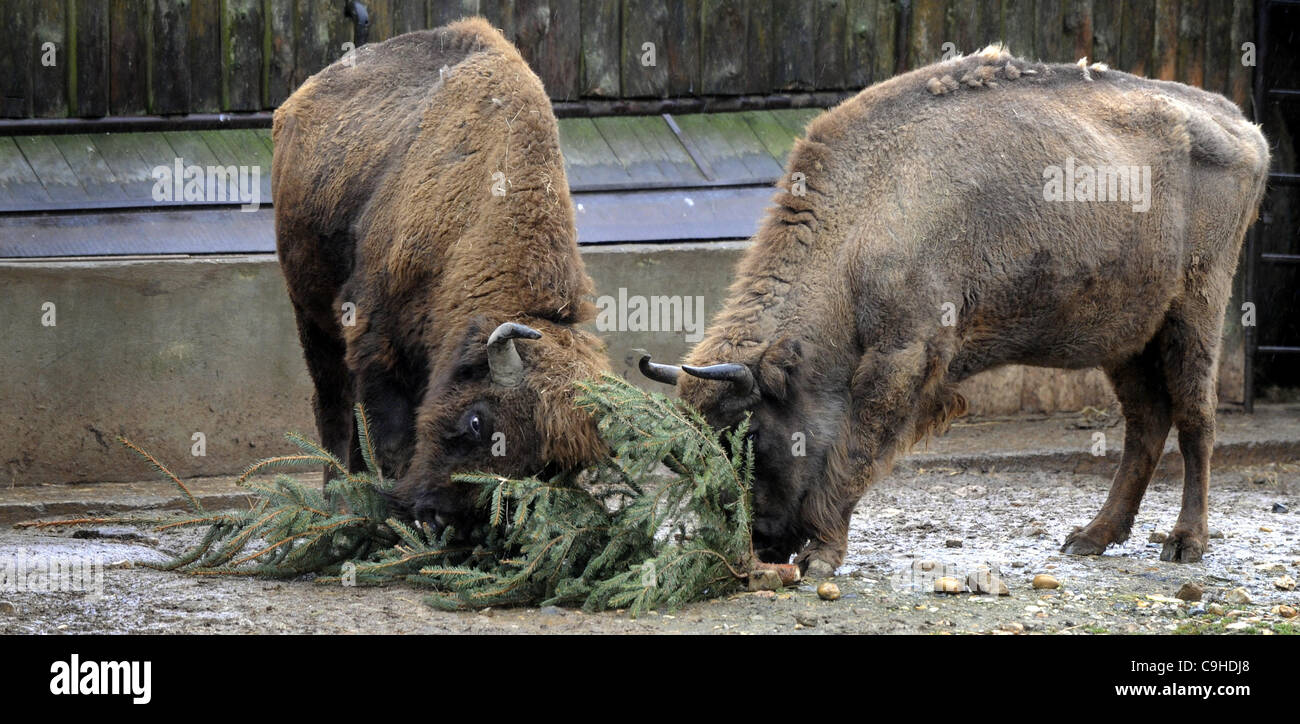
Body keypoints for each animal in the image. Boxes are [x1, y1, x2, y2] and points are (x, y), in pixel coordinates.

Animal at [273, 18, 608, 531]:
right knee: (332, 405)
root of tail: (297, 100)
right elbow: (389, 440)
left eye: (545, 470)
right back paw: (334, 503)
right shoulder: (375, 338)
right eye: (477, 421)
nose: (438, 518)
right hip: (309, 314)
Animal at [641, 48, 1269, 576]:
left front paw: (821, 555)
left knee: (1195, 419)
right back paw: (1091, 537)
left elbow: (857, 448)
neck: (859, 225)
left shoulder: (903, 354)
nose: (764, 544)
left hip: (1195, 311)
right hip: (1127, 338)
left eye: (748, 432)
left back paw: (1185, 543)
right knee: (1146, 423)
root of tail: (1246, 129)